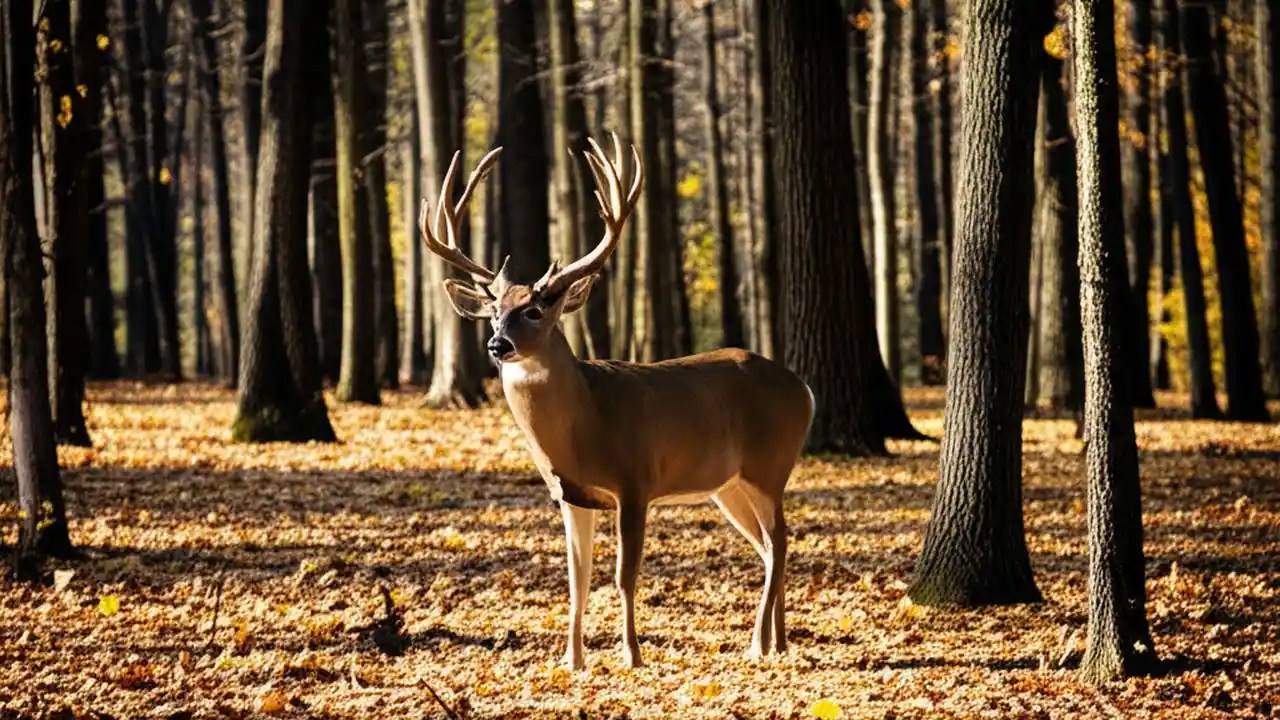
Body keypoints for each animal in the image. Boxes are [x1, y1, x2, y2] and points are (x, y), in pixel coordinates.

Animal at [419, 135, 814, 670]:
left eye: (535, 310)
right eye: (495, 312)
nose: (498, 345)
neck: (586, 421)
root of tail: (804, 388)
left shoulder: (636, 480)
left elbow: (623, 575)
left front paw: (631, 655)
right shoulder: (569, 494)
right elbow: (577, 581)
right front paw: (573, 661)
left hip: (769, 466)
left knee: (780, 540)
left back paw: (757, 643)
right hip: (728, 485)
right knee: (769, 546)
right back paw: (778, 641)